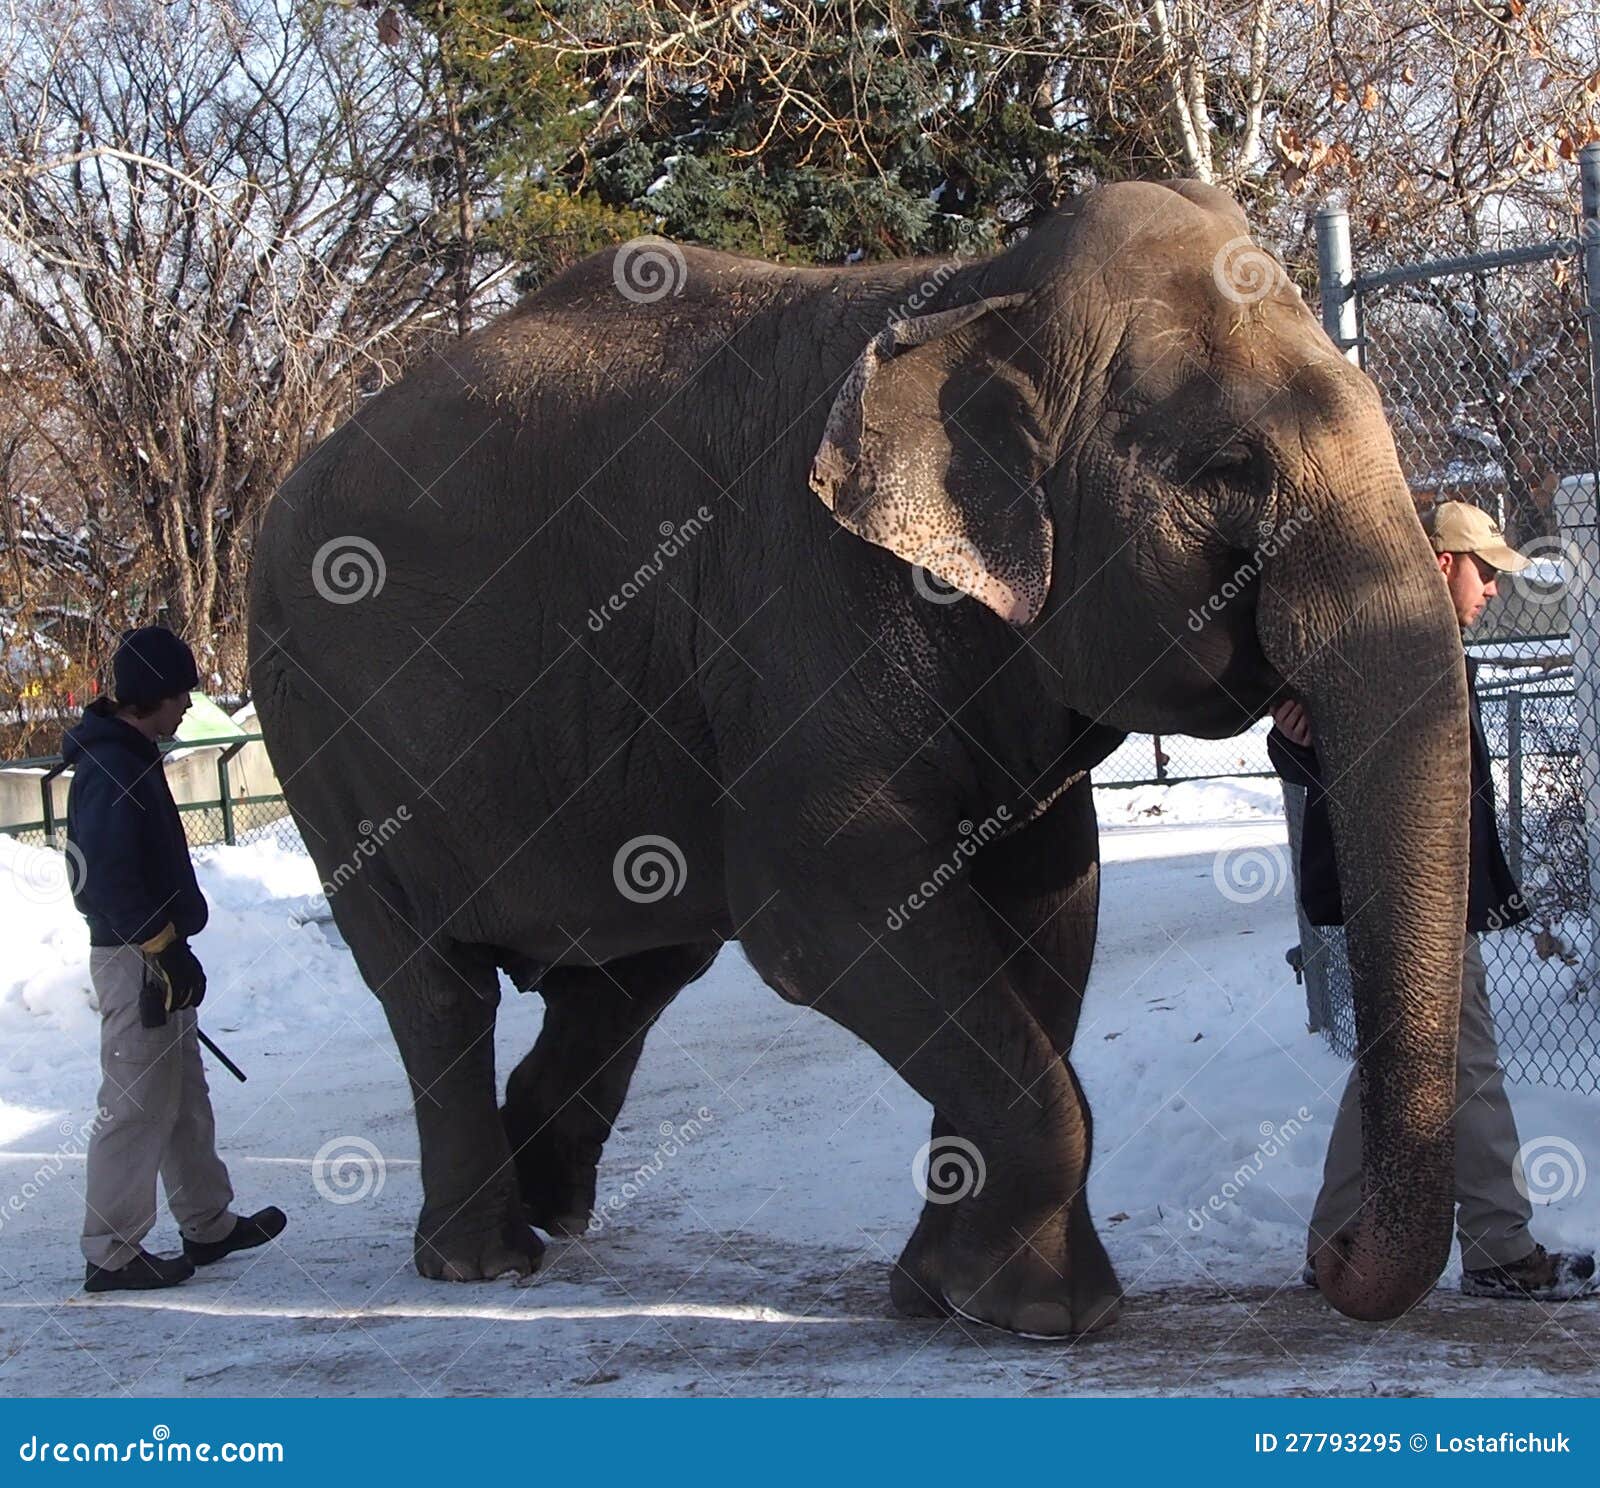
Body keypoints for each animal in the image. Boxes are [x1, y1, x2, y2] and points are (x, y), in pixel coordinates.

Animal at [248, 177, 1471, 1338]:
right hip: (315, 725)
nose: (1326, 1256)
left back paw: (551, 1207)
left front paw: (960, 1300)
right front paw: (1032, 1317)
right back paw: (483, 1260)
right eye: (1227, 470)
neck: (982, 289)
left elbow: (1050, 905)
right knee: (434, 983)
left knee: (633, 971)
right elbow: (823, 916)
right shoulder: (805, 614)